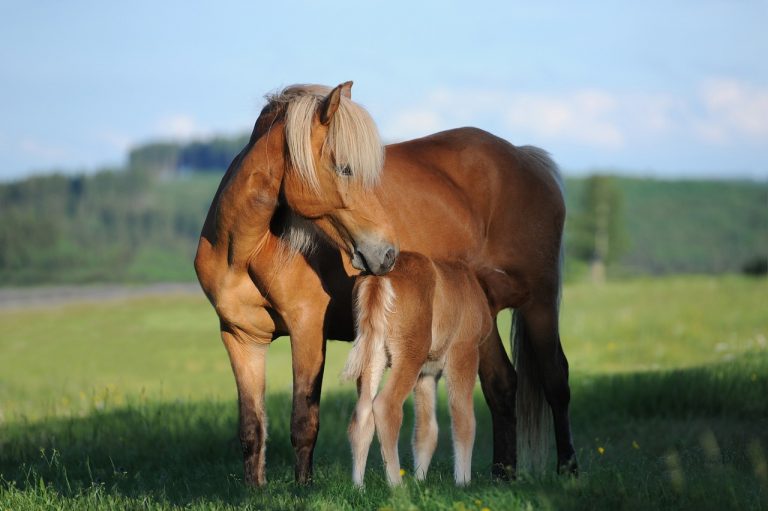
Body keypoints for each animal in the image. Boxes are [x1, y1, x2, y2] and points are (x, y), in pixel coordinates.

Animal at [343, 251, 492, 486]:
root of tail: (378, 278)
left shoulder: (427, 374)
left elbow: (426, 431)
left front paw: (420, 480)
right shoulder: (464, 351)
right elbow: (464, 418)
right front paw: (463, 482)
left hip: (373, 355)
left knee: (362, 414)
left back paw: (359, 487)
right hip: (410, 355)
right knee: (386, 407)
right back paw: (396, 485)